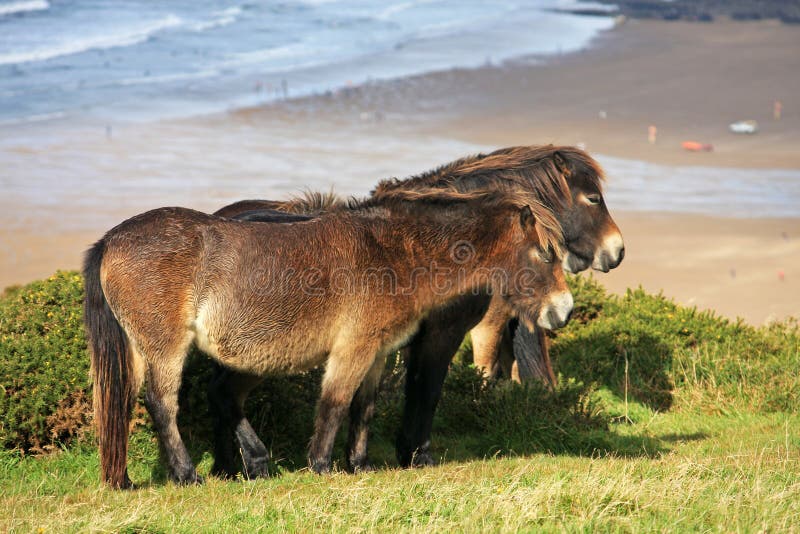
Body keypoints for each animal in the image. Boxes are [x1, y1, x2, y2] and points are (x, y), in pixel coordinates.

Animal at [84, 186, 574, 488]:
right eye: (544, 253)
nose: (564, 311)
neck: (390, 251)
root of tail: (111, 239)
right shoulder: (352, 349)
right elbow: (335, 404)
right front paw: (321, 465)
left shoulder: (377, 352)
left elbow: (364, 409)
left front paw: (360, 465)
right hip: (166, 348)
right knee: (162, 404)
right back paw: (189, 475)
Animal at [212, 144, 624, 468]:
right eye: (593, 198)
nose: (617, 252)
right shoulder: (442, 334)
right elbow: (427, 390)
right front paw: (417, 454)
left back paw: (229, 466)